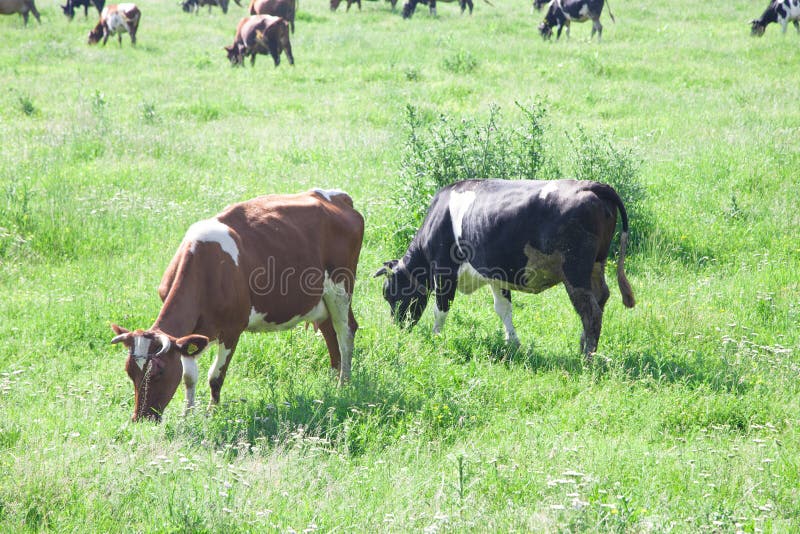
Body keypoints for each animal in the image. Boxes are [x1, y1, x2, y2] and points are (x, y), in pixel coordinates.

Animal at [110, 190, 364, 422]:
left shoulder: (232, 329)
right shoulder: (190, 336)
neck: (206, 269)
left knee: (345, 332)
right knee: (330, 332)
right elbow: (189, 377)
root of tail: (336, 196)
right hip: (321, 300)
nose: (141, 418)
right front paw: (188, 414)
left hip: (341, 288)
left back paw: (343, 384)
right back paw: (332, 380)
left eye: (159, 372)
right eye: (129, 371)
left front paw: (211, 414)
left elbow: (215, 376)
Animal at [374, 179, 635, 358]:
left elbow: (441, 308)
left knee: (591, 312)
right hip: (596, 265)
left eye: (390, 295)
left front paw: (436, 338)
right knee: (601, 298)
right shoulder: (496, 276)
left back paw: (587, 357)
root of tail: (593, 185)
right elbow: (503, 309)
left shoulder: (444, 271)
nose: (397, 328)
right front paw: (513, 342)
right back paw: (584, 346)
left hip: (575, 271)